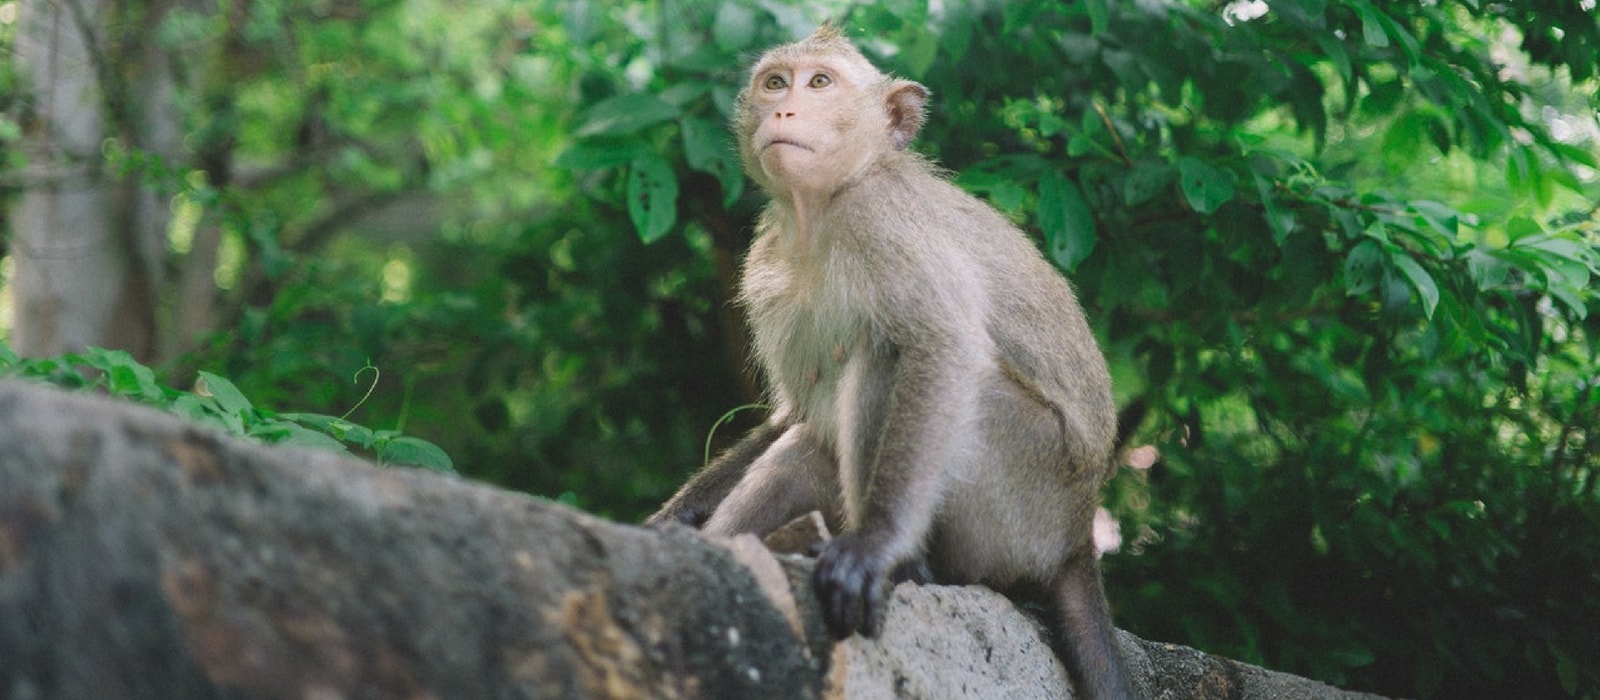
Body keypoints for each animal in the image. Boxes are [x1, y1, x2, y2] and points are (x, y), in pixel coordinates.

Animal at [646, 24, 1135, 699]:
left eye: (819, 83)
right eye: (775, 82)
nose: (783, 109)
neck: (823, 209)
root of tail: (1076, 538)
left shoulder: (881, 221)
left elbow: (940, 347)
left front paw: (872, 548)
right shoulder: (765, 263)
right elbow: (794, 412)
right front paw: (675, 518)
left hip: (1023, 492)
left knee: (886, 360)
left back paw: (906, 564)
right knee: (809, 443)